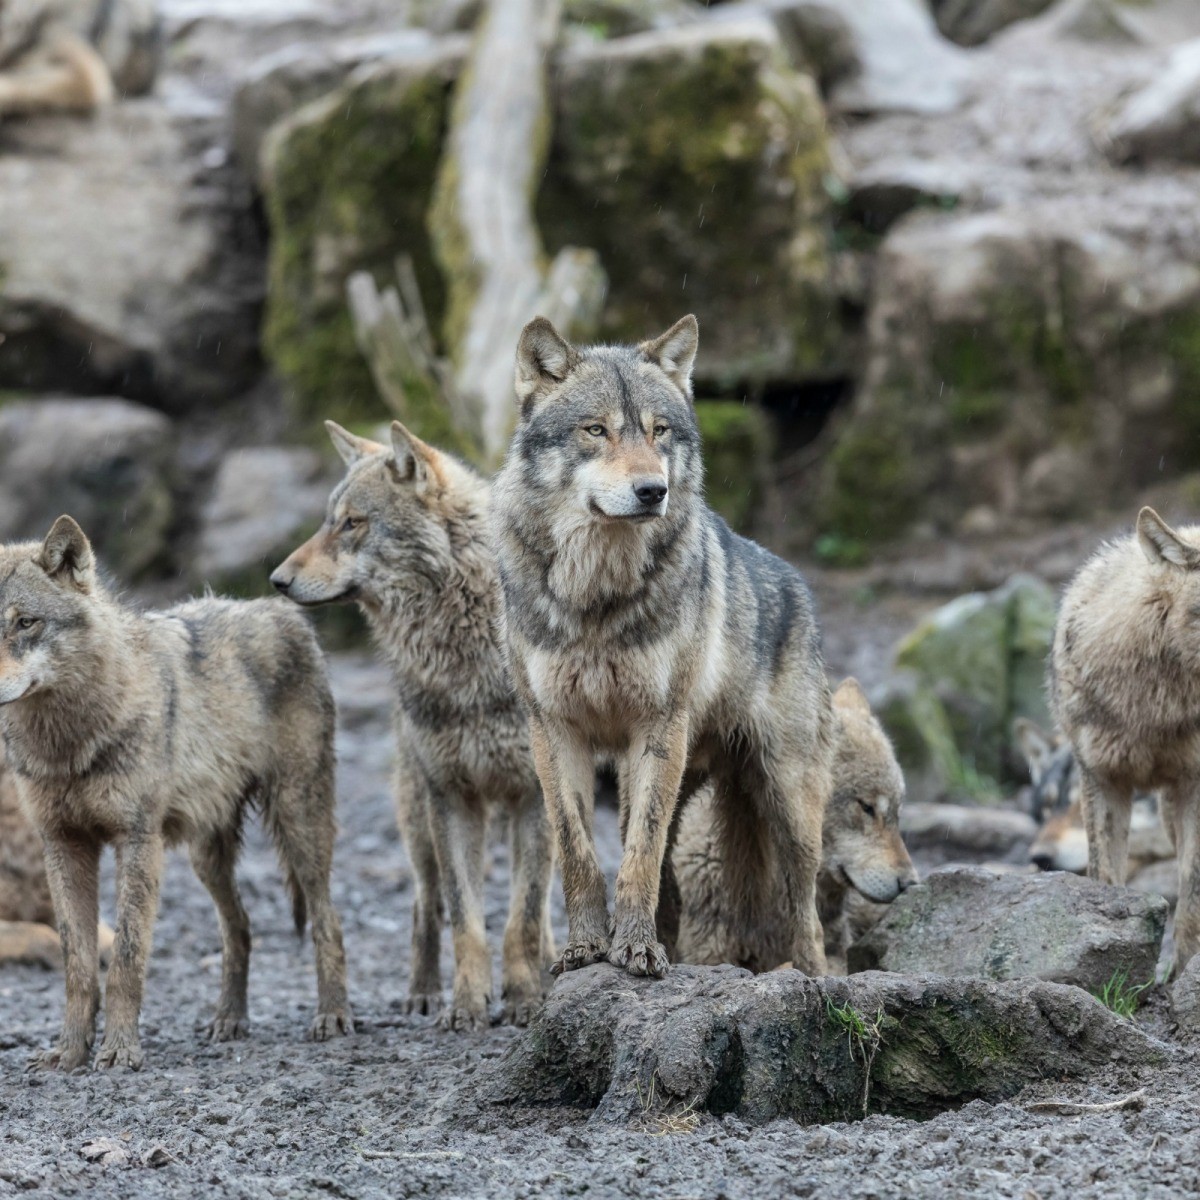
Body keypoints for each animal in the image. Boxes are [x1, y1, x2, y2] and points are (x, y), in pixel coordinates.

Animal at [0, 516, 350, 1070]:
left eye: (25, 623)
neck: (68, 743)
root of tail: (278, 609)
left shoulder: (138, 841)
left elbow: (126, 959)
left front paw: (120, 1050)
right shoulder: (63, 845)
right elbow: (77, 966)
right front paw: (69, 1052)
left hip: (300, 826)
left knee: (327, 920)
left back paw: (332, 1016)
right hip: (205, 855)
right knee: (240, 927)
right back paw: (228, 1020)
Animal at [271, 421, 553, 1031]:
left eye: (353, 522)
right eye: (328, 519)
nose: (276, 580)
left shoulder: (535, 796)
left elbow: (522, 916)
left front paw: (525, 998)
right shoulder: (450, 795)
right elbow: (466, 919)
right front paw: (466, 1005)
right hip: (418, 814)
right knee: (426, 902)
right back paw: (423, 993)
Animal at [492, 314, 835, 979]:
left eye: (659, 431)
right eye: (596, 430)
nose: (653, 490)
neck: (596, 597)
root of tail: (799, 586)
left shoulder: (655, 726)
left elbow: (639, 853)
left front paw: (635, 950)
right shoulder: (553, 730)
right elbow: (578, 850)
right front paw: (584, 949)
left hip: (787, 802)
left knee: (805, 911)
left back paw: (811, 978)